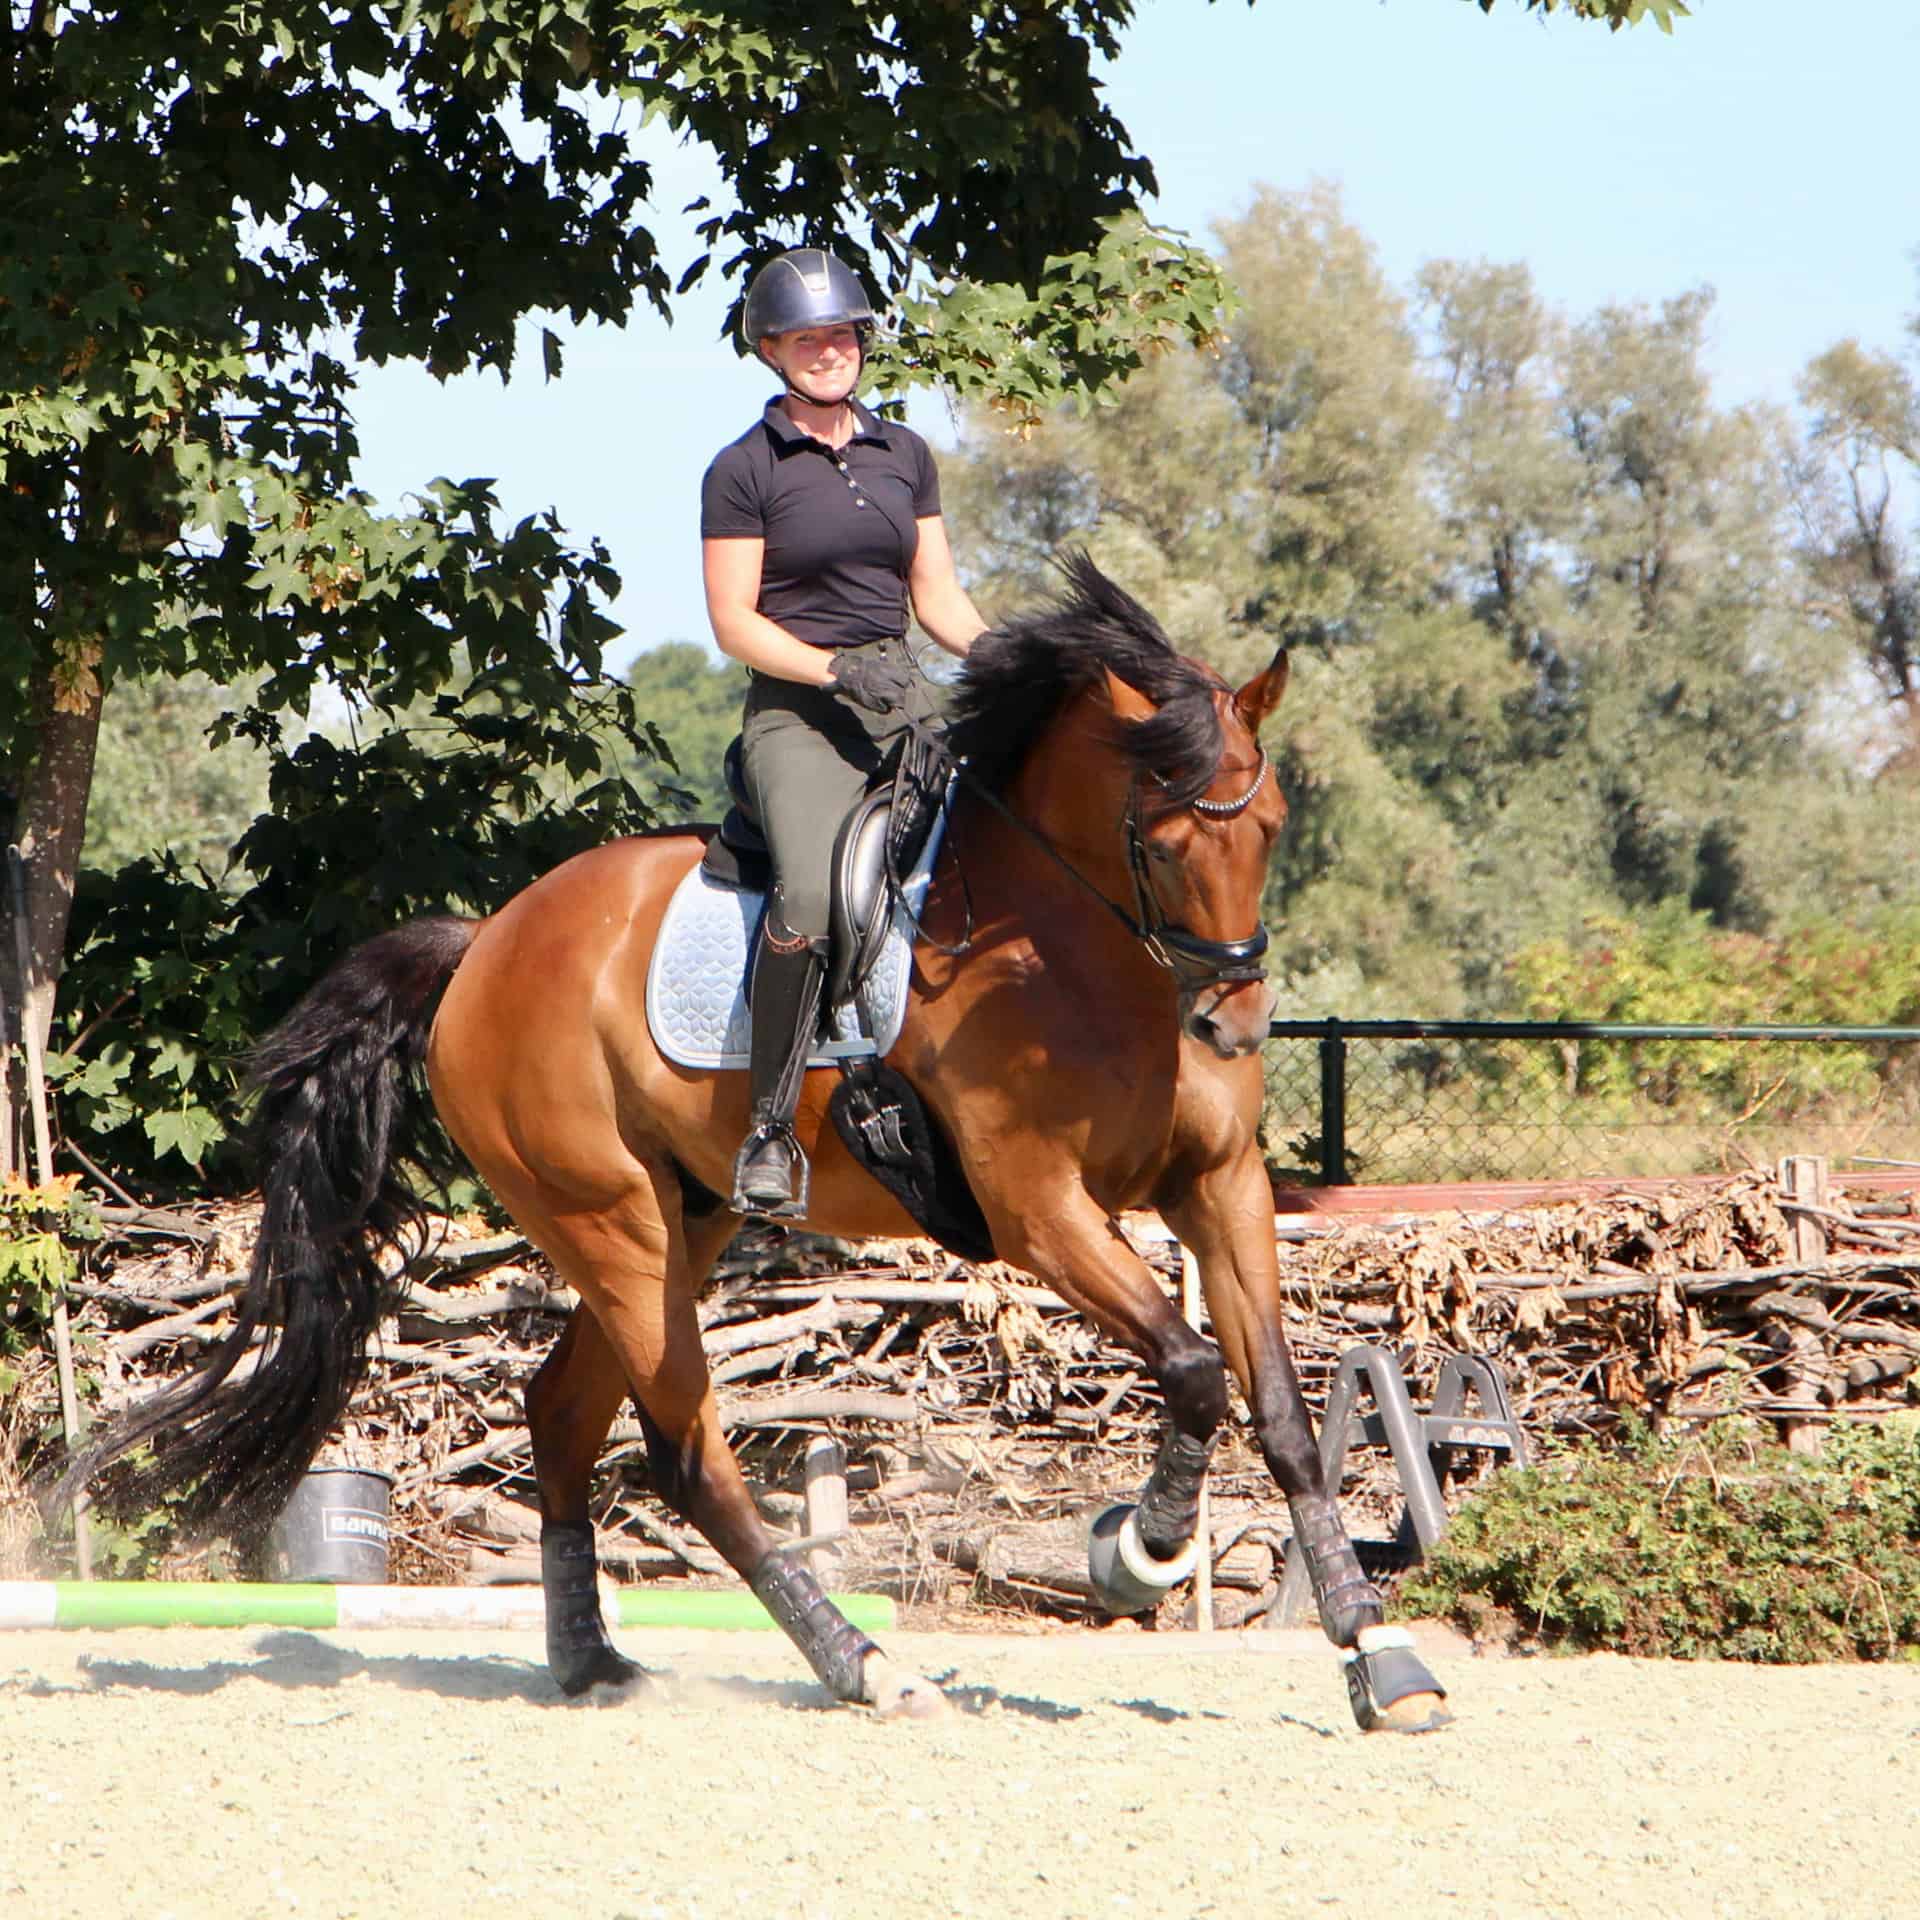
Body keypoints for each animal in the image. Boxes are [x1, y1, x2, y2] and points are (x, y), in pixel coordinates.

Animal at [66, 555, 1447, 1733]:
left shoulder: (1221, 1188)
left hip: (685, 1217)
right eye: (1159, 839)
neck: (1079, 953)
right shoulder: (1037, 1207)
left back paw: (593, 1663)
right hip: (608, 1219)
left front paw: (1382, 1661)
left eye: (1270, 824)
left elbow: (1280, 1410)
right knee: (685, 1450)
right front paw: (1138, 1551)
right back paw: (864, 1665)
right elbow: (1194, 1368)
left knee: (562, 1413)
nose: (1231, 1023)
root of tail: (484, 945)